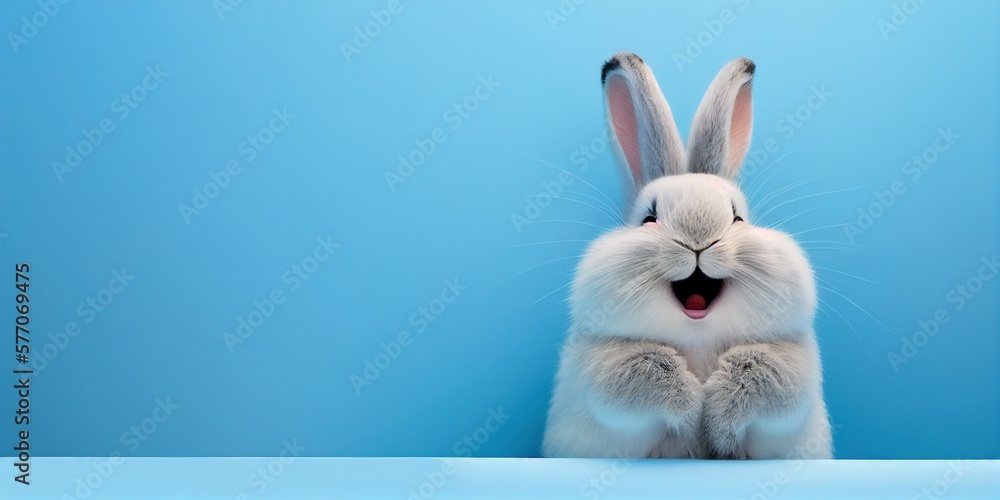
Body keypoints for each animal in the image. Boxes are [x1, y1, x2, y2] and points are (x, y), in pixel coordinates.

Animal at [541, 53, 832, 460]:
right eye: (649, 218)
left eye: (737, 217)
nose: (698, 240)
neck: (698, 336)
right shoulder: (601, 368)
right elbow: (642, 373)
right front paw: (693, 408)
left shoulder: (793, 364)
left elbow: (765, 376)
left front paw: (717, 422)